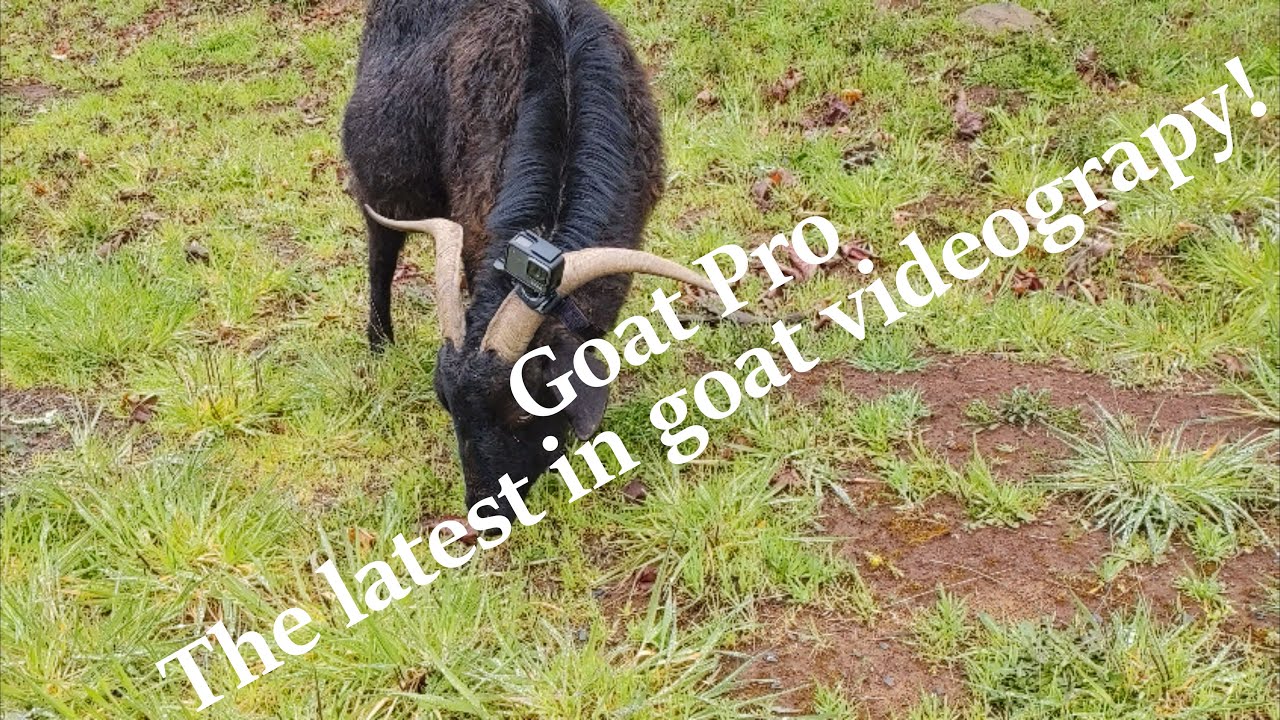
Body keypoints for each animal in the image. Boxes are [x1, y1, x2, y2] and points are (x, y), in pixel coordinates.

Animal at [341, 0, 709, 519]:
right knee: (380, 253)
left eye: (522, 409)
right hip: (386, 175)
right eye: (448, 406)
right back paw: (379, 345)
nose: (486, 517)